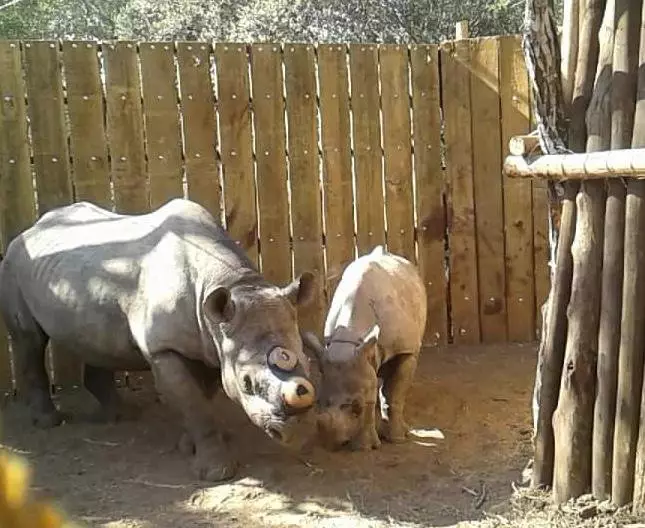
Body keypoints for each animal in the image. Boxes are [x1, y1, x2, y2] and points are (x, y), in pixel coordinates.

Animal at [0, 198, 316, 482]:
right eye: (247, 383)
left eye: (307, 363)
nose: (295, 433)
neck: (234, 284)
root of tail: (30, 229)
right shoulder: (165, 348)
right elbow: (193, 403)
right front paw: (215, 473)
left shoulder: (211, 345)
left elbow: (201, 396)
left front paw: (188, 446)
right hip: (13, 264)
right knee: (30, 340)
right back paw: (49, 422)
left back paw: (120, 415)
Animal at [304, 246, 426, 450]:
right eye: (318, 402)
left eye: (357, 407)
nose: (332, 444)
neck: (351, 339)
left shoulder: (405, 351)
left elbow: (394, 394)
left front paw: (395, 439)